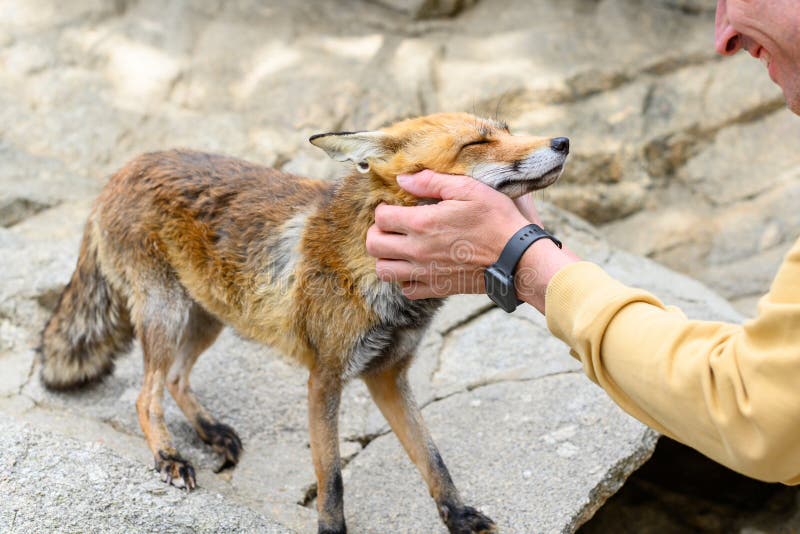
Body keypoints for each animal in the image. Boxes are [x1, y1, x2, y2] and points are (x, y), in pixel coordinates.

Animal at [40, 112, 569, 534]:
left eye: (507, 130)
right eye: (476, 143)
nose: (563, 141)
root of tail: (123, 169)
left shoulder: (388, 374)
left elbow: (432, 458)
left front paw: (458, 516)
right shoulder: (326, 377)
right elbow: (331, 477)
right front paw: (332, 529)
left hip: (210, 317)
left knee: (174, 379)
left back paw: (210, 431)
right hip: (166, 314)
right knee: (145, 396)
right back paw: (169, 456)